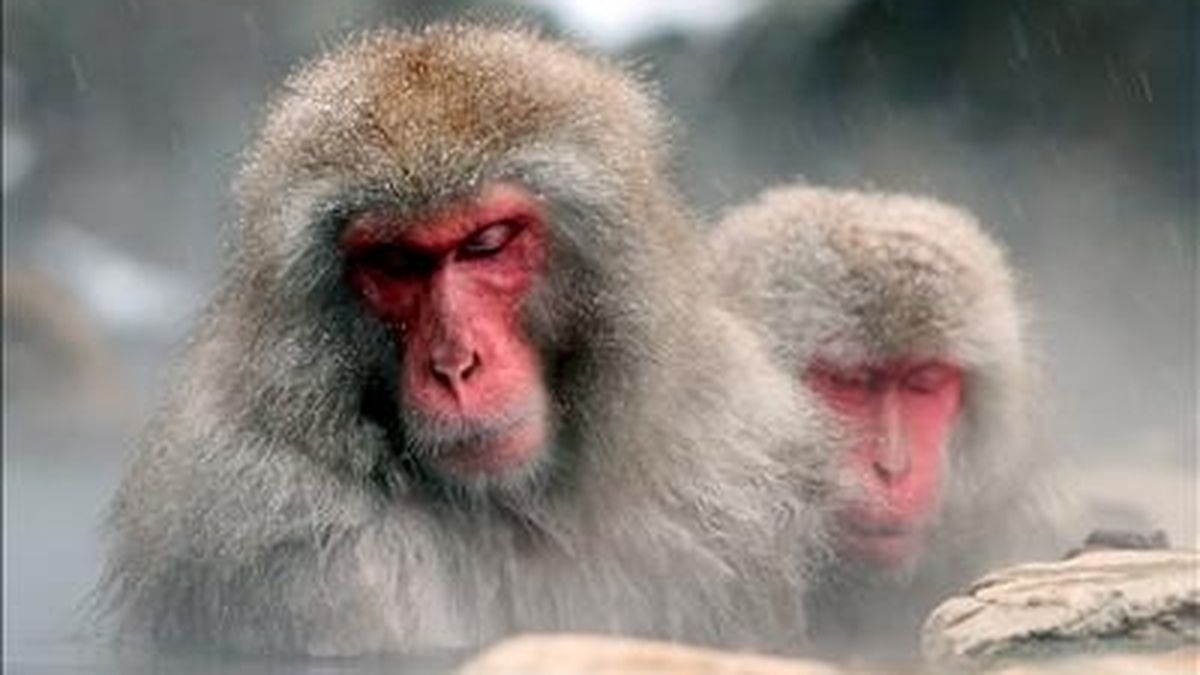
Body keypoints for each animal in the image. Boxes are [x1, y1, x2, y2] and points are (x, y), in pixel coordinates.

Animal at [101, 25, 831, 656]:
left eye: (486, 243)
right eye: (395, 263)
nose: (455, 365)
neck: (510, 513)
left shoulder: (726, 463)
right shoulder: (271, 531)